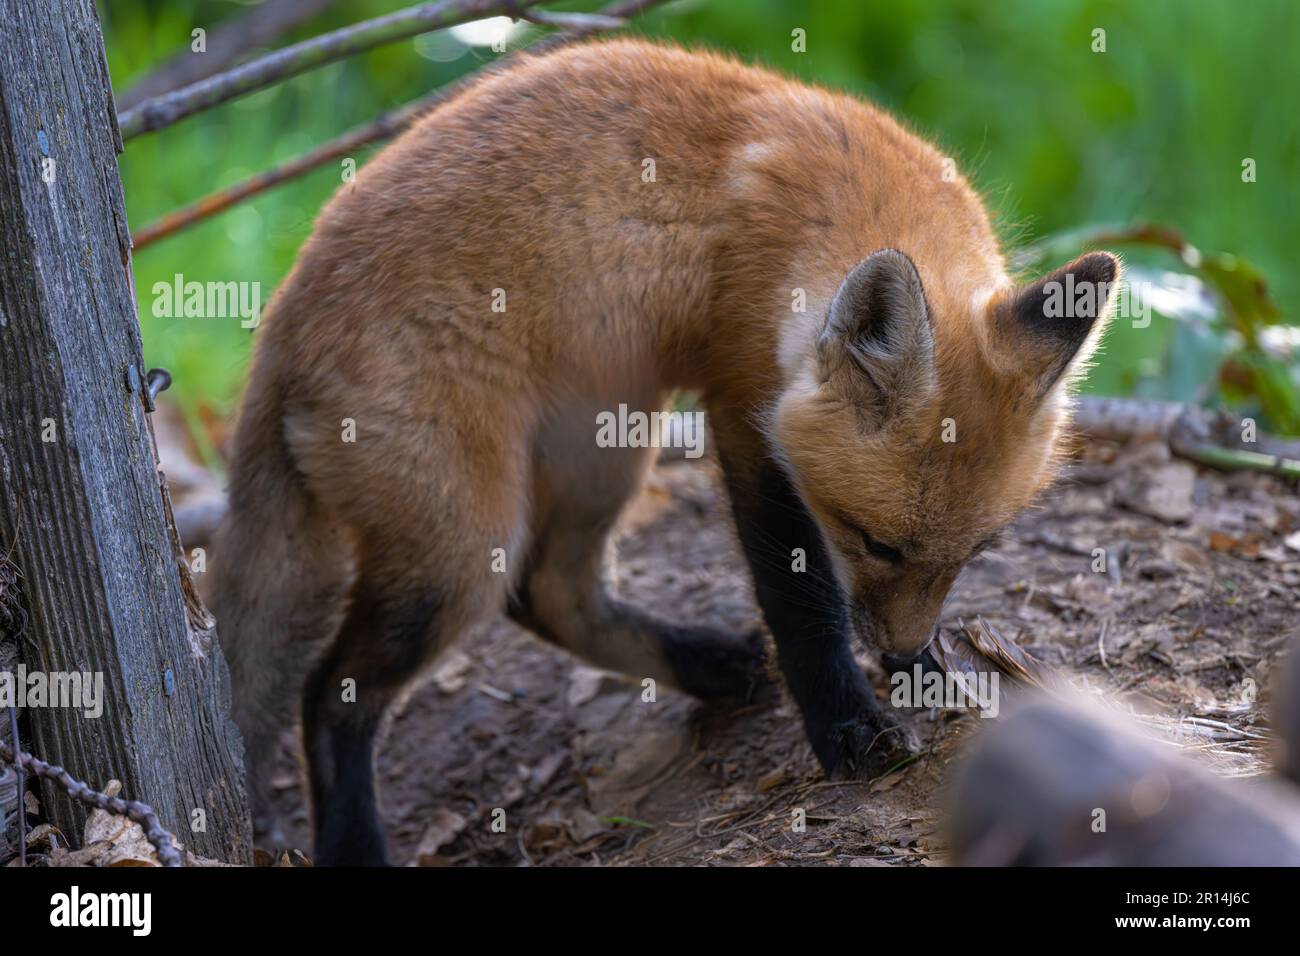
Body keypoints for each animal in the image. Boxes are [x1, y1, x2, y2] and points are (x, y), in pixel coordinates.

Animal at [210, 38, 1118, 866]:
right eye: (875, 542)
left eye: (977, 550)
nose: (897, 654)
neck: (840, 203)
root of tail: (279, 322)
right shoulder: (747, 408)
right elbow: (803, 602)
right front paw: (849, 725)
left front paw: (926, 670)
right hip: (463, 544)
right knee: (334, 693)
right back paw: (354, 844)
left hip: (605, 443)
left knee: (548, 592)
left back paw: (707, 665)